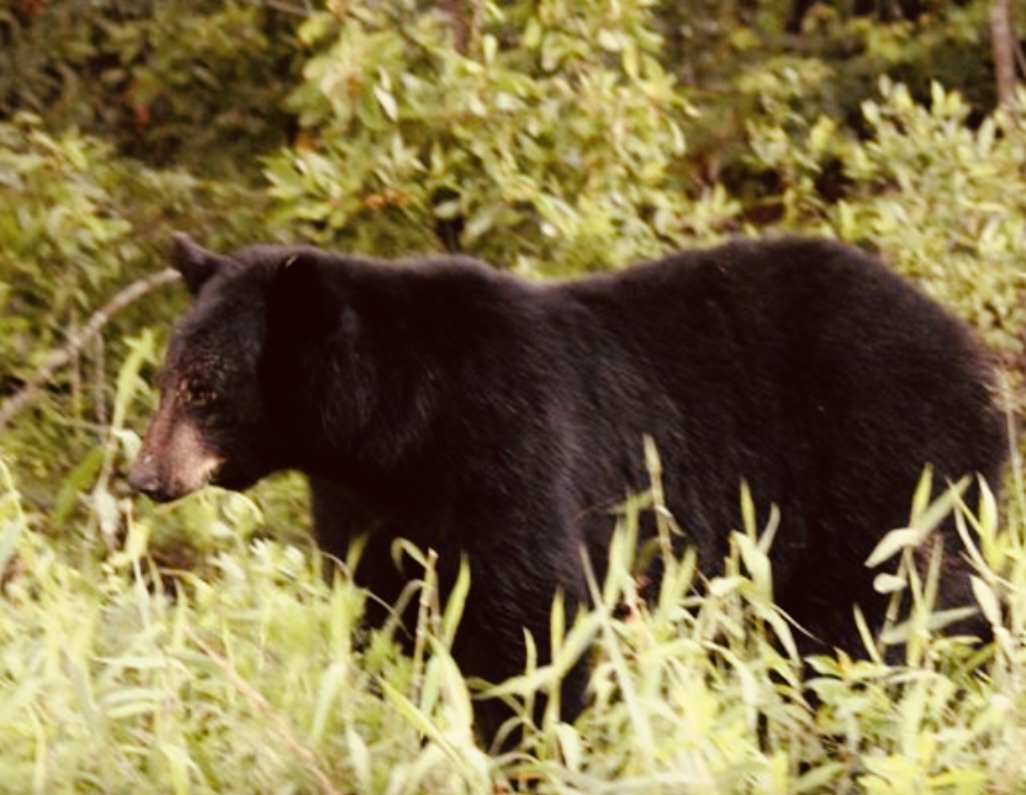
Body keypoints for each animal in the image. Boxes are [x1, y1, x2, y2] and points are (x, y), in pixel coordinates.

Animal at [129, 232, 1007, 743]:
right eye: (170, 376)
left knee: (905, 611)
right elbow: (391, 616)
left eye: (203, 387)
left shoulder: (513, 452)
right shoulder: (371, 506)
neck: (399, 426)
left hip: (889, 470)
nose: (143, 475)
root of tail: (973, 353)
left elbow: (529, 628)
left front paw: (521, 740)